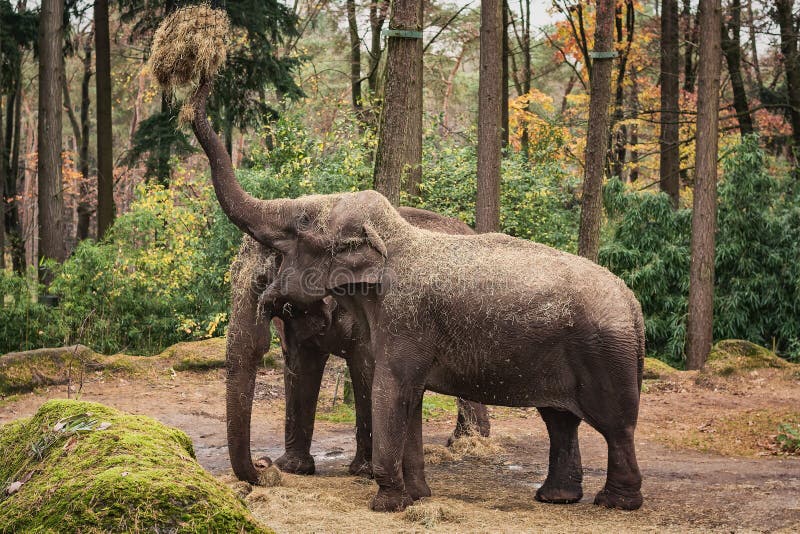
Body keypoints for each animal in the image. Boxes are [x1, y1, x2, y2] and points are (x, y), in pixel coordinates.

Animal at [226, 208, 490, 483]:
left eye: (263, 281)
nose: (263, 464)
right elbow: (301, 366)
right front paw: (294, 468)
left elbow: (365, 367)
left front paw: (365, 471)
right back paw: (465, 441)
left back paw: (466, 442)